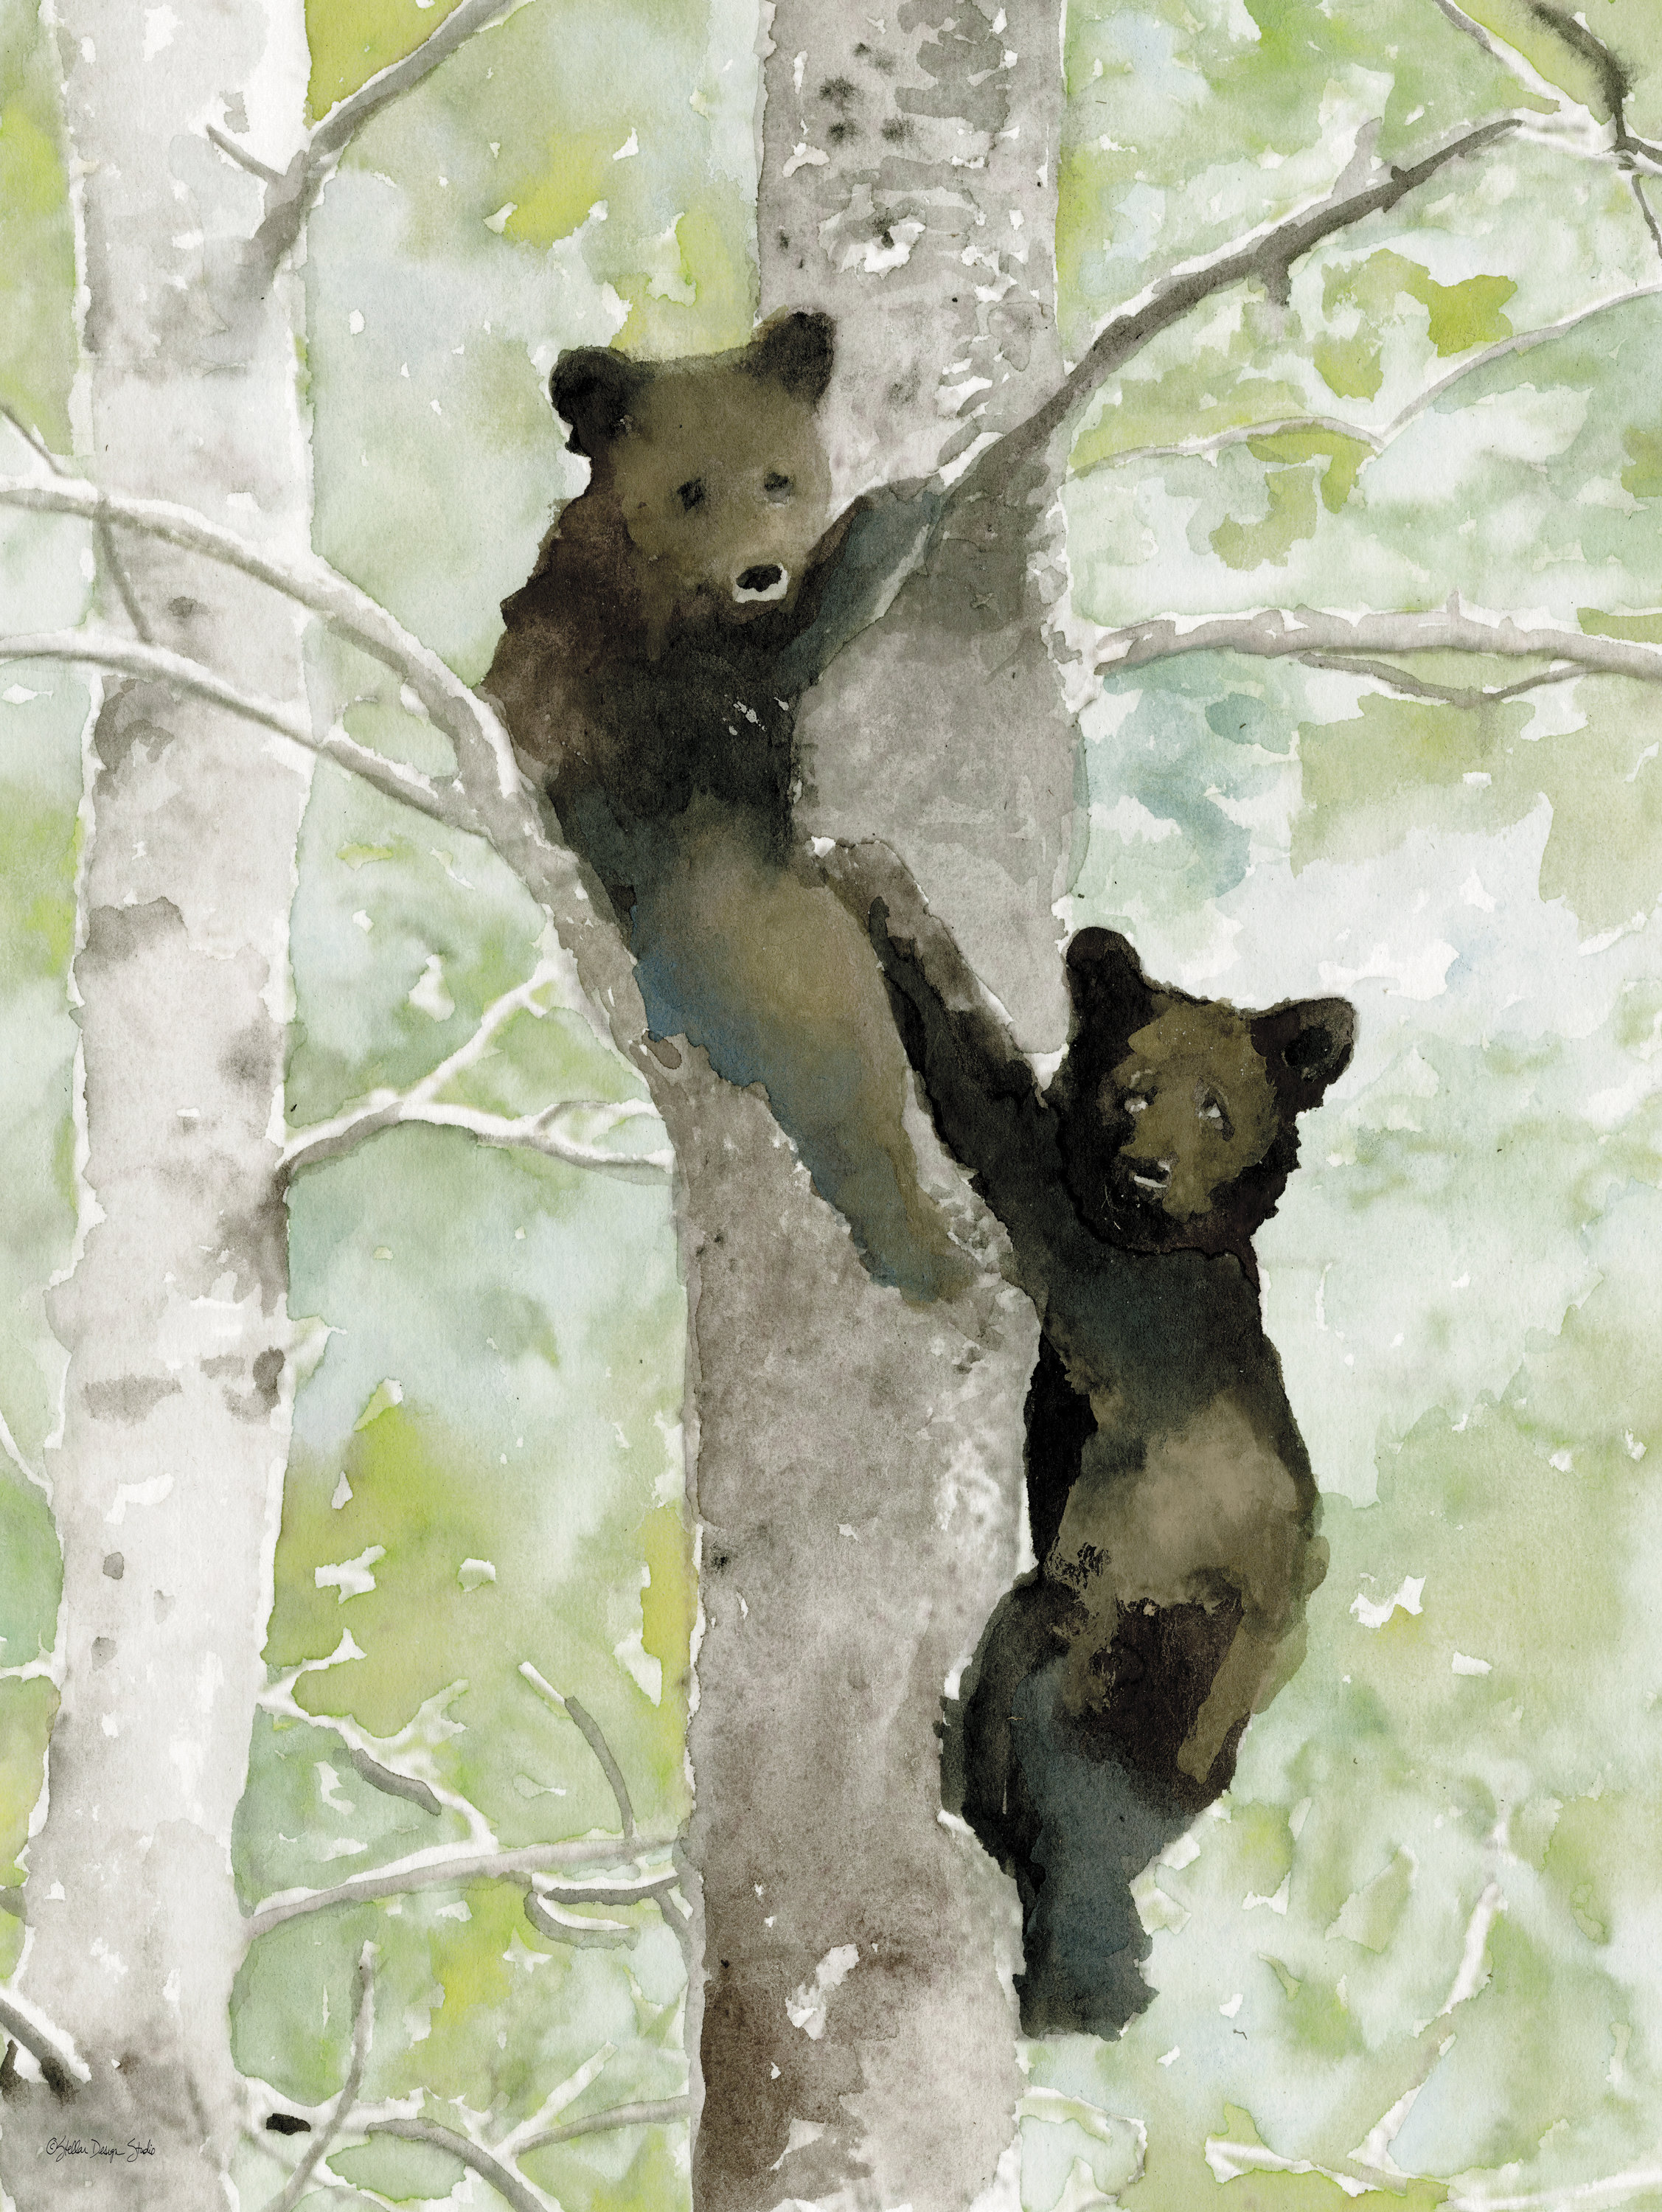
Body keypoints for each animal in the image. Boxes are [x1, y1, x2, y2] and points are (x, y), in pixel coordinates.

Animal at [826, 840, 1355, 2036]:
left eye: (1216, 1107)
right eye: (1135, 1087)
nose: (1145, 1169)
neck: (1180, 1246)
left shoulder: (1091, 1261)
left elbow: (987, 1102)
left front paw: (886, 893)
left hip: (1098, 1634)